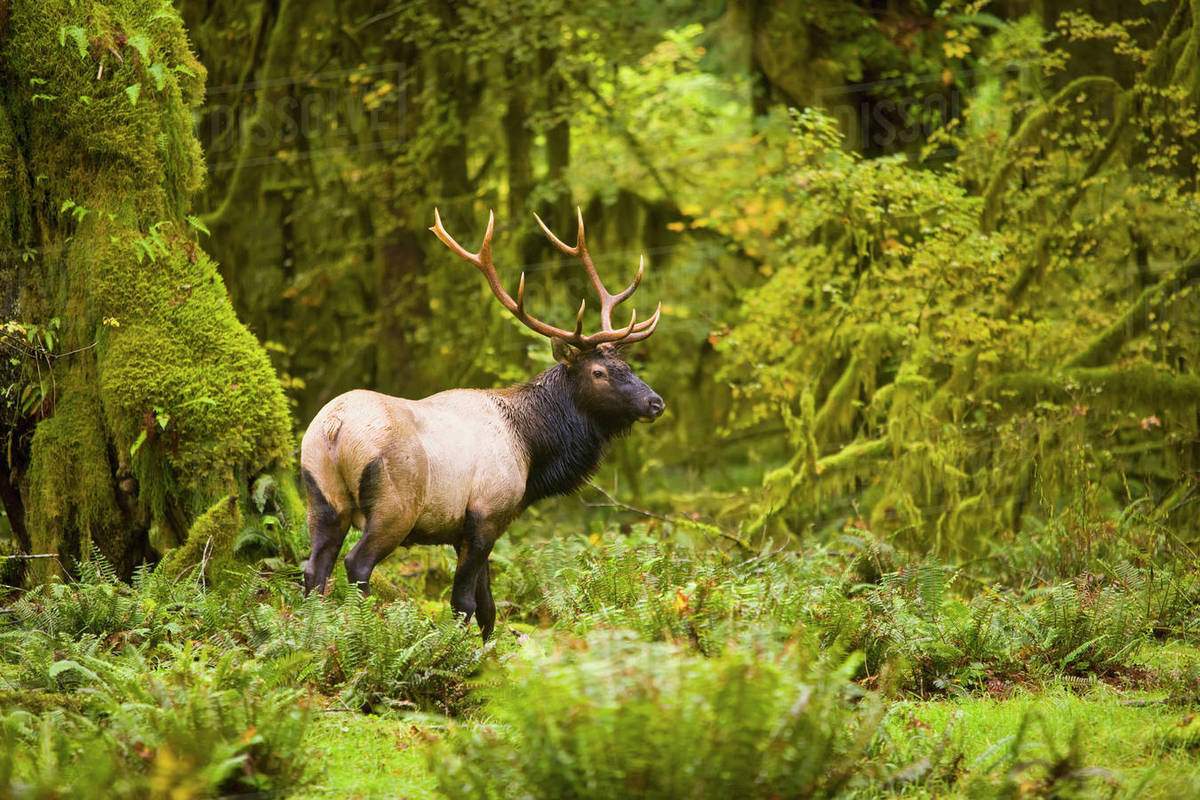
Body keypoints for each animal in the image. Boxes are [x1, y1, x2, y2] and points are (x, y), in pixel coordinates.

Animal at [300, 208, 664, 639]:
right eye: (599, 372)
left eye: (628, 366)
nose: (655, 402)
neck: (532, 451)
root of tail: (334, 428)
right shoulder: (486, 513)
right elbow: (465, 603)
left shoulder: (471, 529)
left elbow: (489, 606)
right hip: (394, 504)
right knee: (356, 563)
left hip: (321, 494)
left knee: (313, 569)